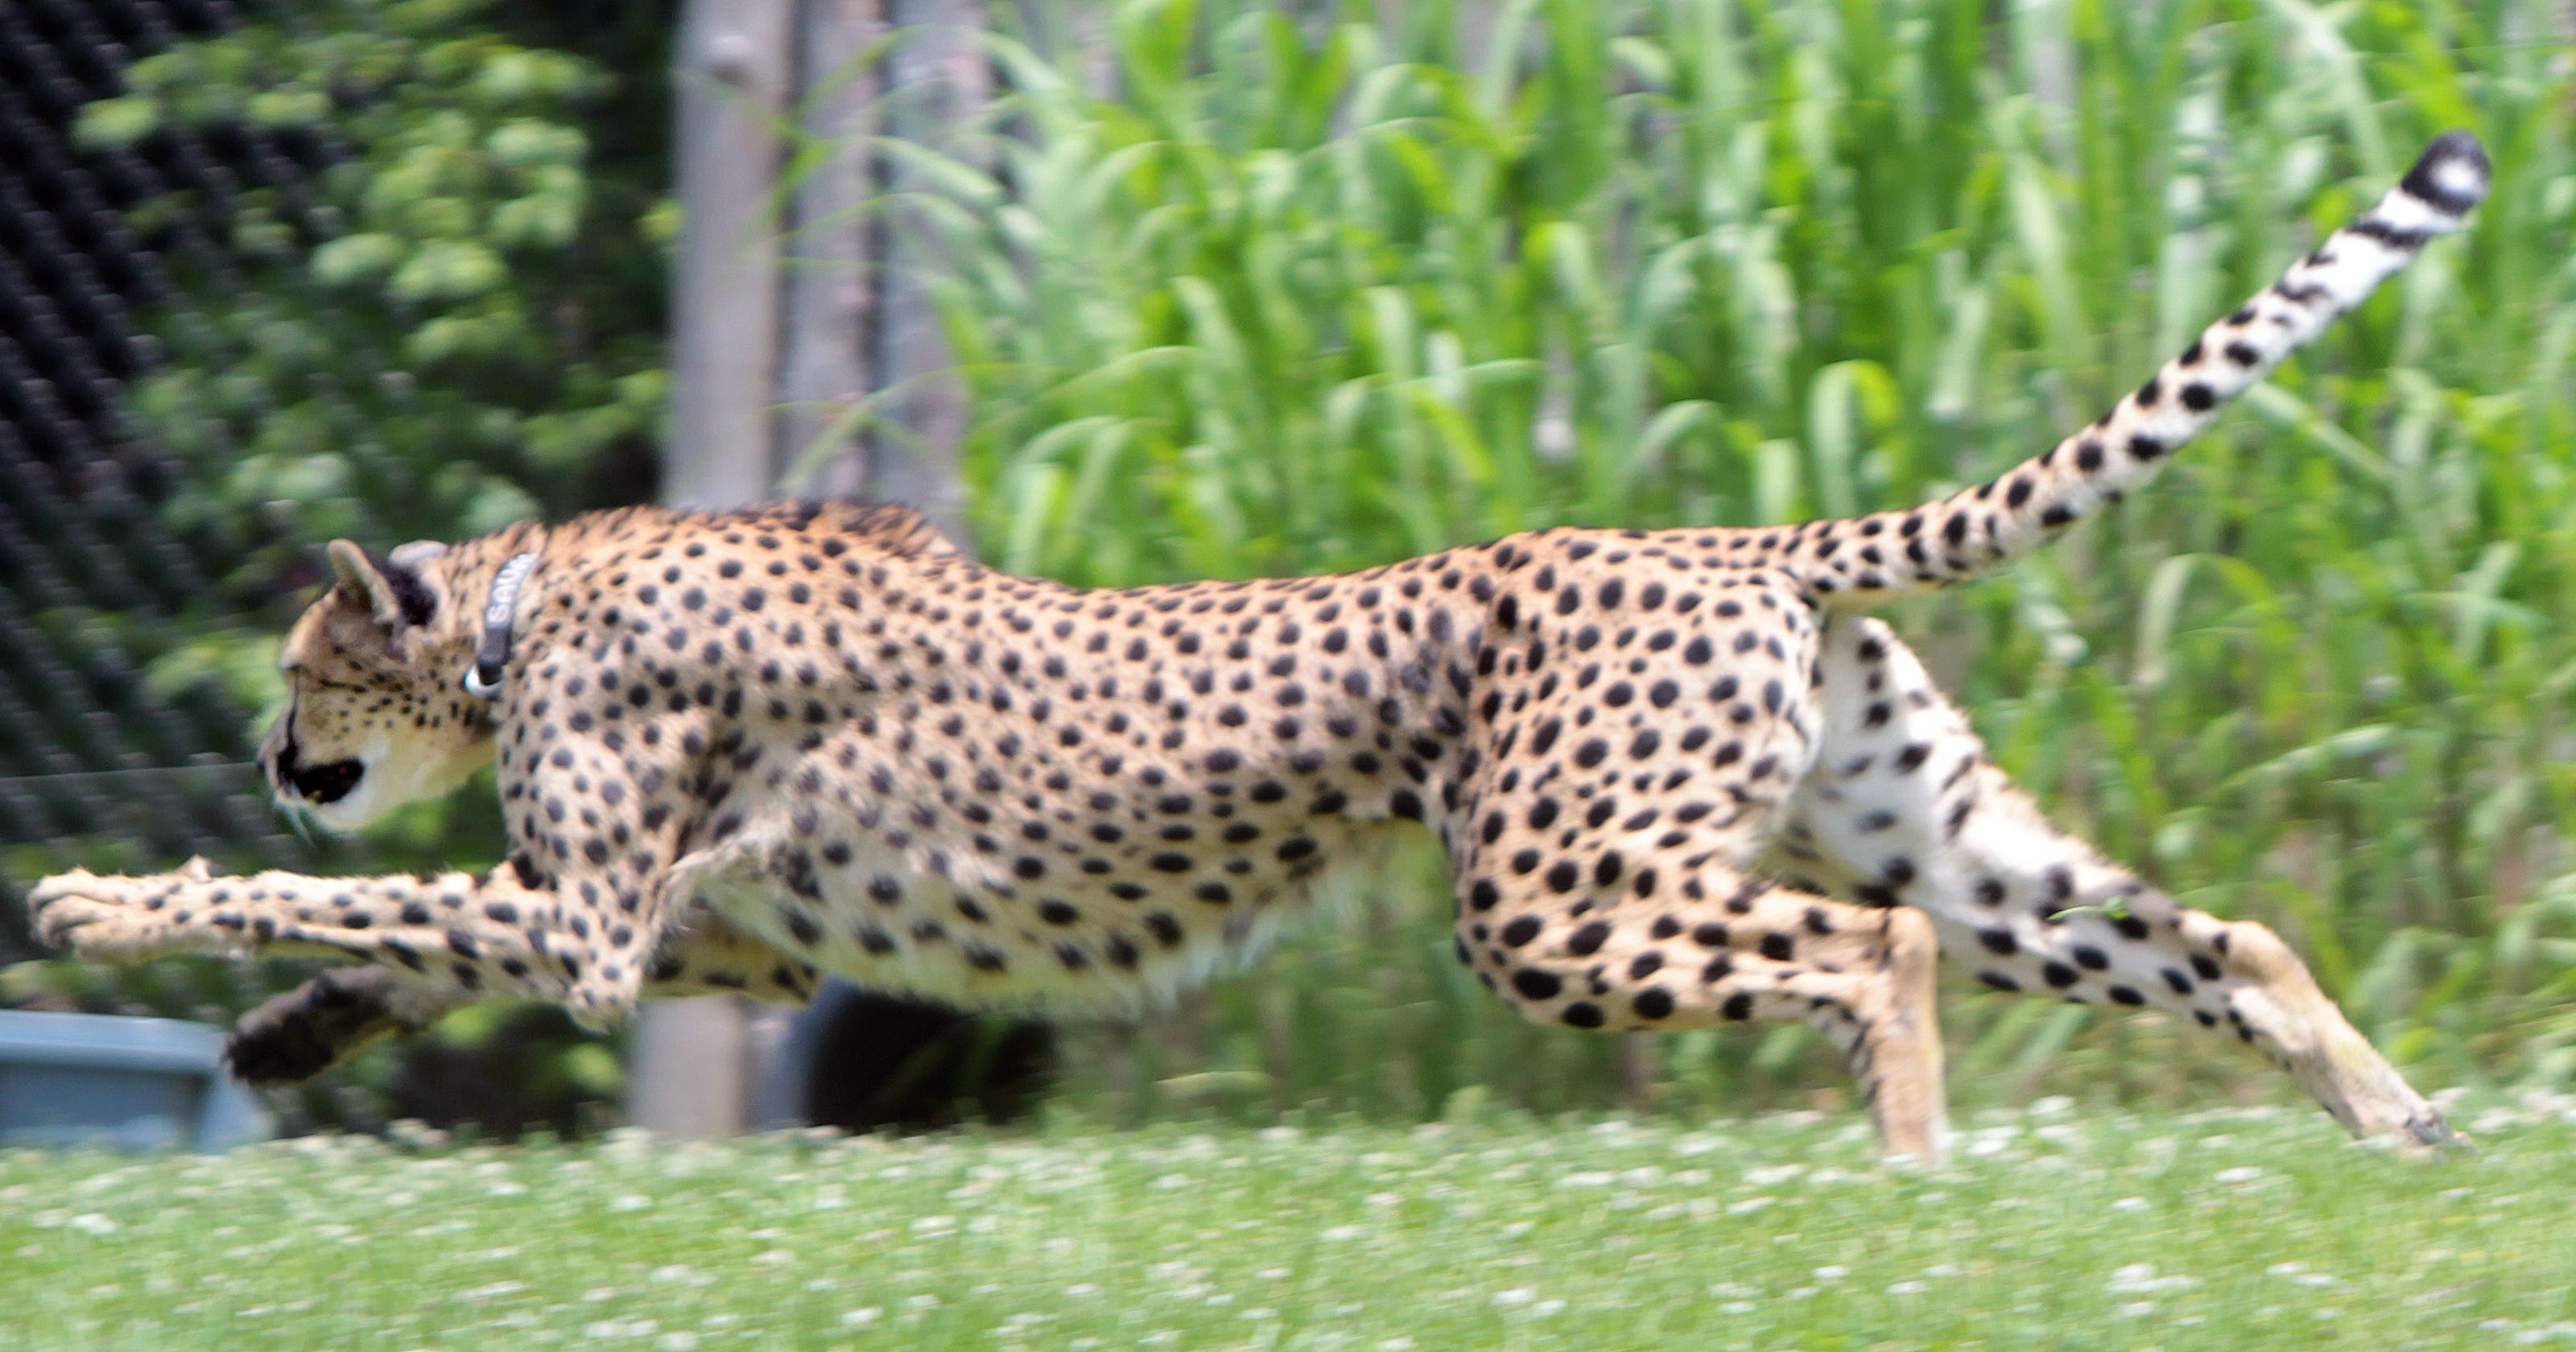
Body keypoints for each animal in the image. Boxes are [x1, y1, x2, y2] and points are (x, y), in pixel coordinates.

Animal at [29, 133, 2490, 1161]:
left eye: (302, 672)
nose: (274, 749)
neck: (532, 602)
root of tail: (1727, 537)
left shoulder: (611, 923)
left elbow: (375, 903)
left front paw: (110, 904)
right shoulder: (716, 944)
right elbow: (402, 942)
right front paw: (278, 1044)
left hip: (1557, 898)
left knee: (1867, 963)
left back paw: (1912, 1182)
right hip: (1925, 835)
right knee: (2222, 938)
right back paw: (2398, 1124)